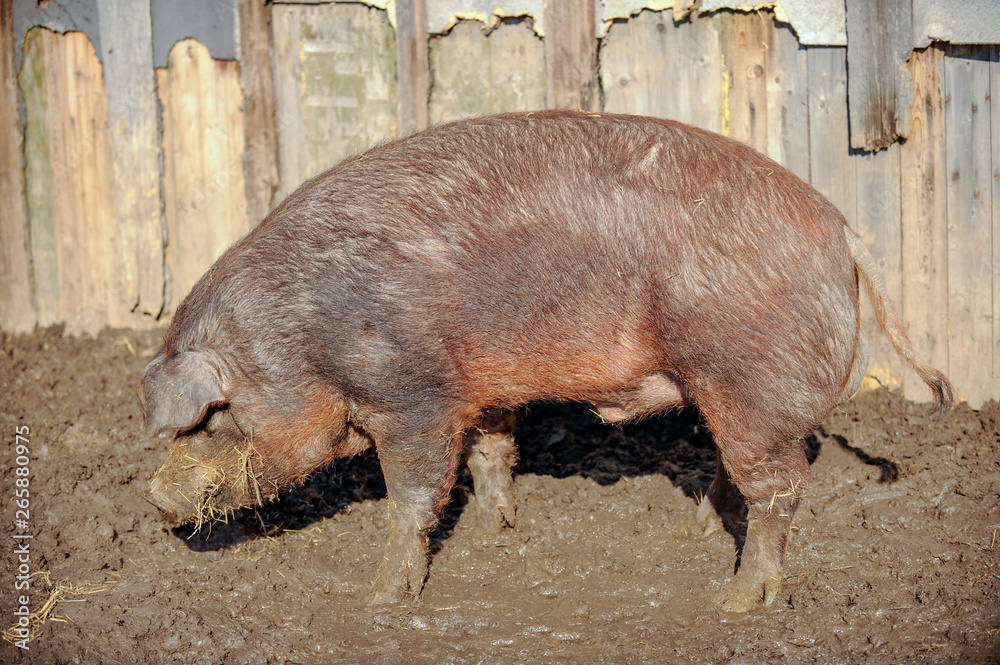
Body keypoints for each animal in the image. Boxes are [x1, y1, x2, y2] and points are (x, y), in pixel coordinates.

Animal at [138, 110, 952, 612]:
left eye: (209, 418)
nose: (155, 500)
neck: (305, 338)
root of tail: (843, 233)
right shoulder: (477, 388)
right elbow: (490, 452)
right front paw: (500, 528)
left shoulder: (412, 394)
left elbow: (412, 494)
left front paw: (381, 597)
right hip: (734, 391)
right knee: (742, 470)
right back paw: (698, 530)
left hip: (749, 376)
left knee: (780, 490)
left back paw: (734, 603)